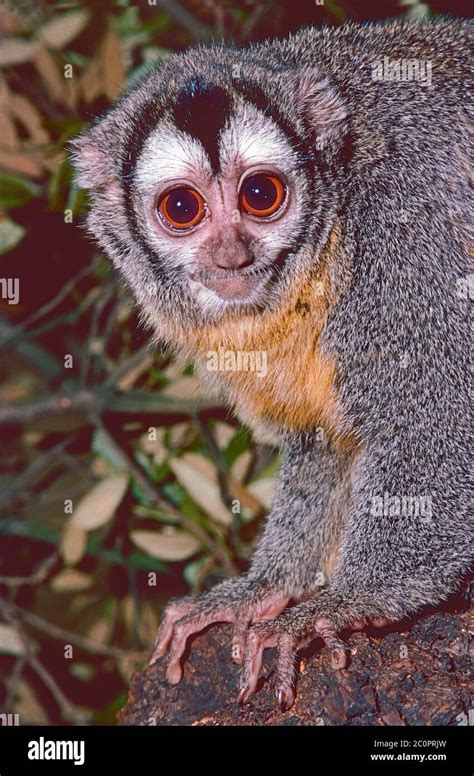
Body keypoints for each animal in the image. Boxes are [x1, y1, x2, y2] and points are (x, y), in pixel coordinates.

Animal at [73, 19, 473, 711]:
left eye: (261, 195)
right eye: (183, 208)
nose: (231, 253)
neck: (334, 227)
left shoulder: (406, 234)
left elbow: (438, 413)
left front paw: (345, 604)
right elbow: (326, 441)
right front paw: (262, 592)